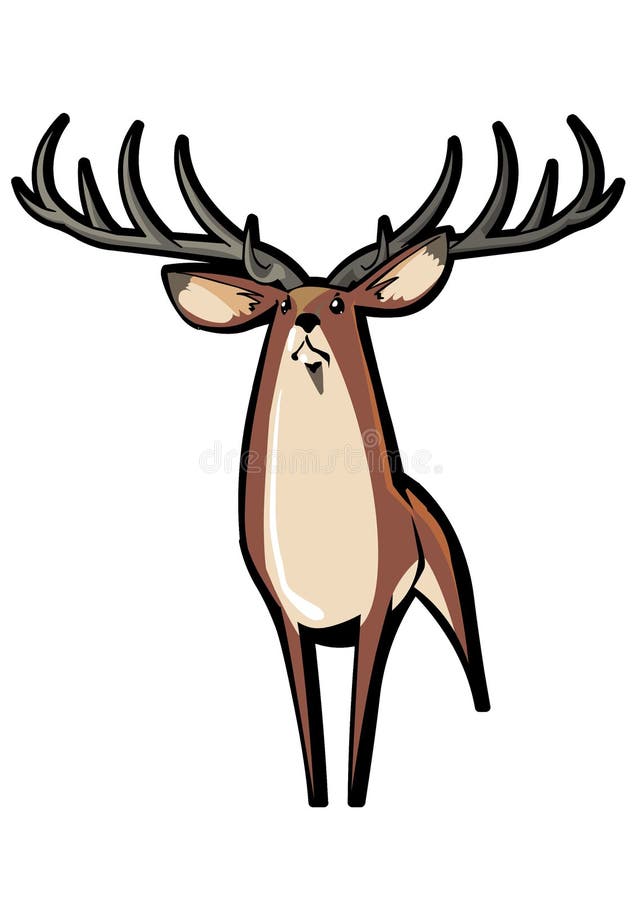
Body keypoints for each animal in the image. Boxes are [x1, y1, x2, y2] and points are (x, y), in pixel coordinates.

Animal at [12, 114, 624, 806]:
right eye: (280, 305)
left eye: (337, 304)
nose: (305, 318)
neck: (322, 553)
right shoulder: (283, 613)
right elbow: (309, 728)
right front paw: (317, 797)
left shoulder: (381, 604)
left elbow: (362, 722)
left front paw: (354, 799)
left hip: (446, 580)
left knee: (472, 660)